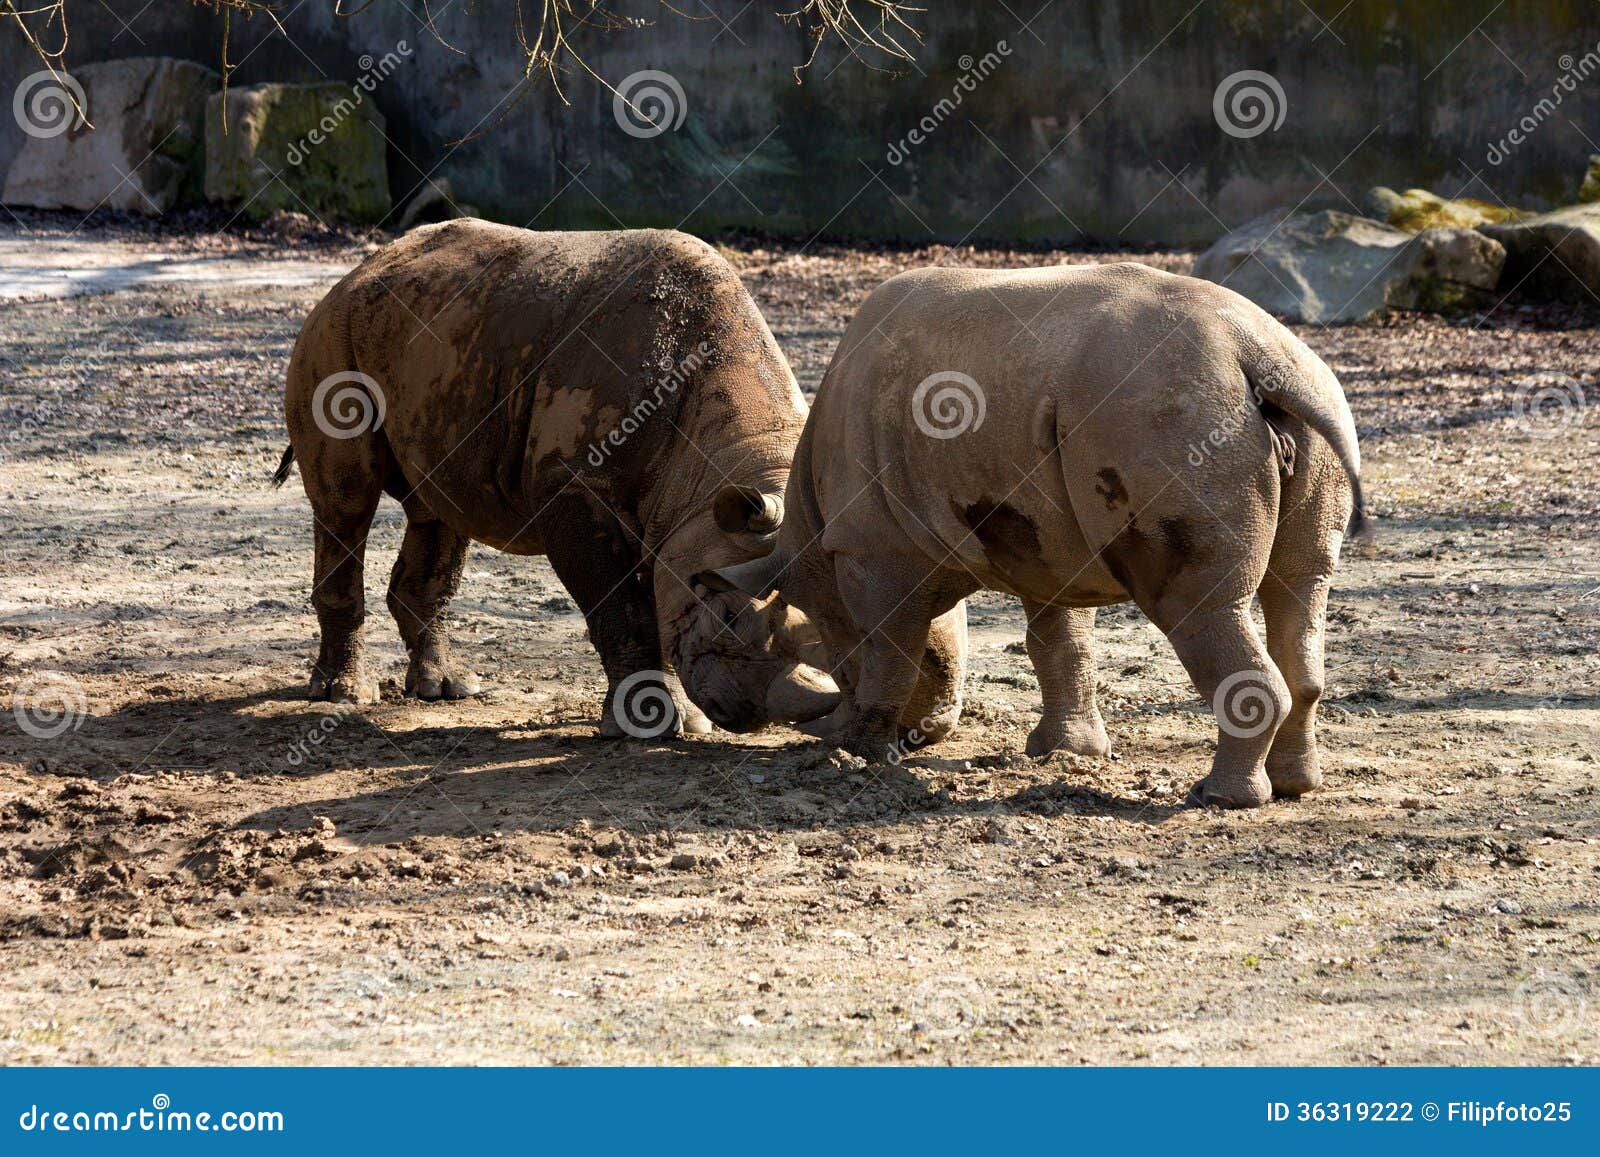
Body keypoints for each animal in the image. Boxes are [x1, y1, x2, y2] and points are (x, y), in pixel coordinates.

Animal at [274, 220, 839, 737]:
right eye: (725, 617)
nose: (752, 717)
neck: (718, 464)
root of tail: (354, 272)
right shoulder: (573, 486)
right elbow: (625, 609)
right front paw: (648, 725)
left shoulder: (676, 513)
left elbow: (652, 599)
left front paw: (680, 721)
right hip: (333, 336)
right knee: (347, 502)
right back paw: (344, 694)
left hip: (431, 345)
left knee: (437, 510)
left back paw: (449, 687)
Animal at [701, 262, 1367, 809]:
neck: (808, 537)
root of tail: (1258, 357)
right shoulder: (1043, 539)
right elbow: (1059, 643)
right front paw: (1064, 752)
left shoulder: (873, 547)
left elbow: (888, 647)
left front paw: (850, 746)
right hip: (1281, 403)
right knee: (1300, 587)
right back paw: (1293, 786)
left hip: (1169, 421)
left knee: (1195, 603)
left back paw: (1219, 798)